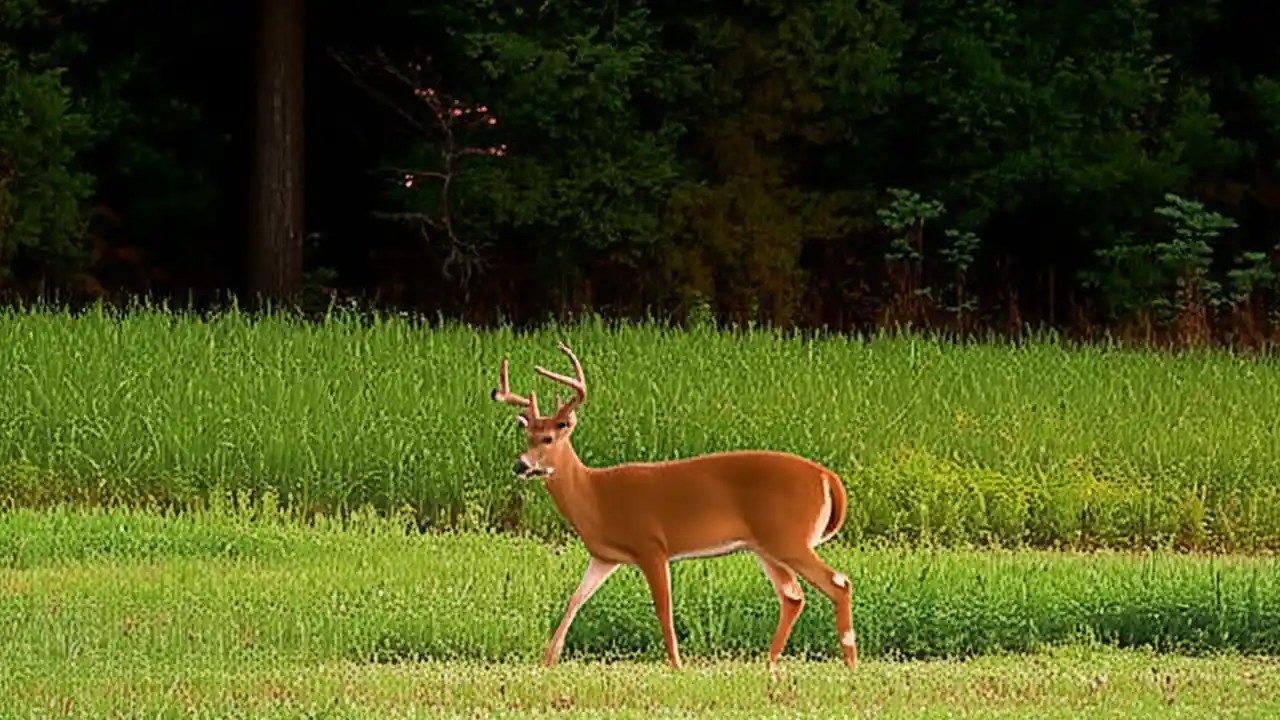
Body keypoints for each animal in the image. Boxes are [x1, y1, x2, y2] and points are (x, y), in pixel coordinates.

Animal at [489, 342, 857, 670]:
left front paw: (677, 665)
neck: (594, 495)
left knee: (838, 583)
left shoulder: (651, 545)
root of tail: (827, 477)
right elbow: (574, 600)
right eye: (527, 437)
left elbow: (663, 608)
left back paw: (849, 662)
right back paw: (770, 663)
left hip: (789, 537)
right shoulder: (605, 556)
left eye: (549, 438)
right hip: (765, 546)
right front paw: (548, 659)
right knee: (793, 596)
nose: (520, 465)